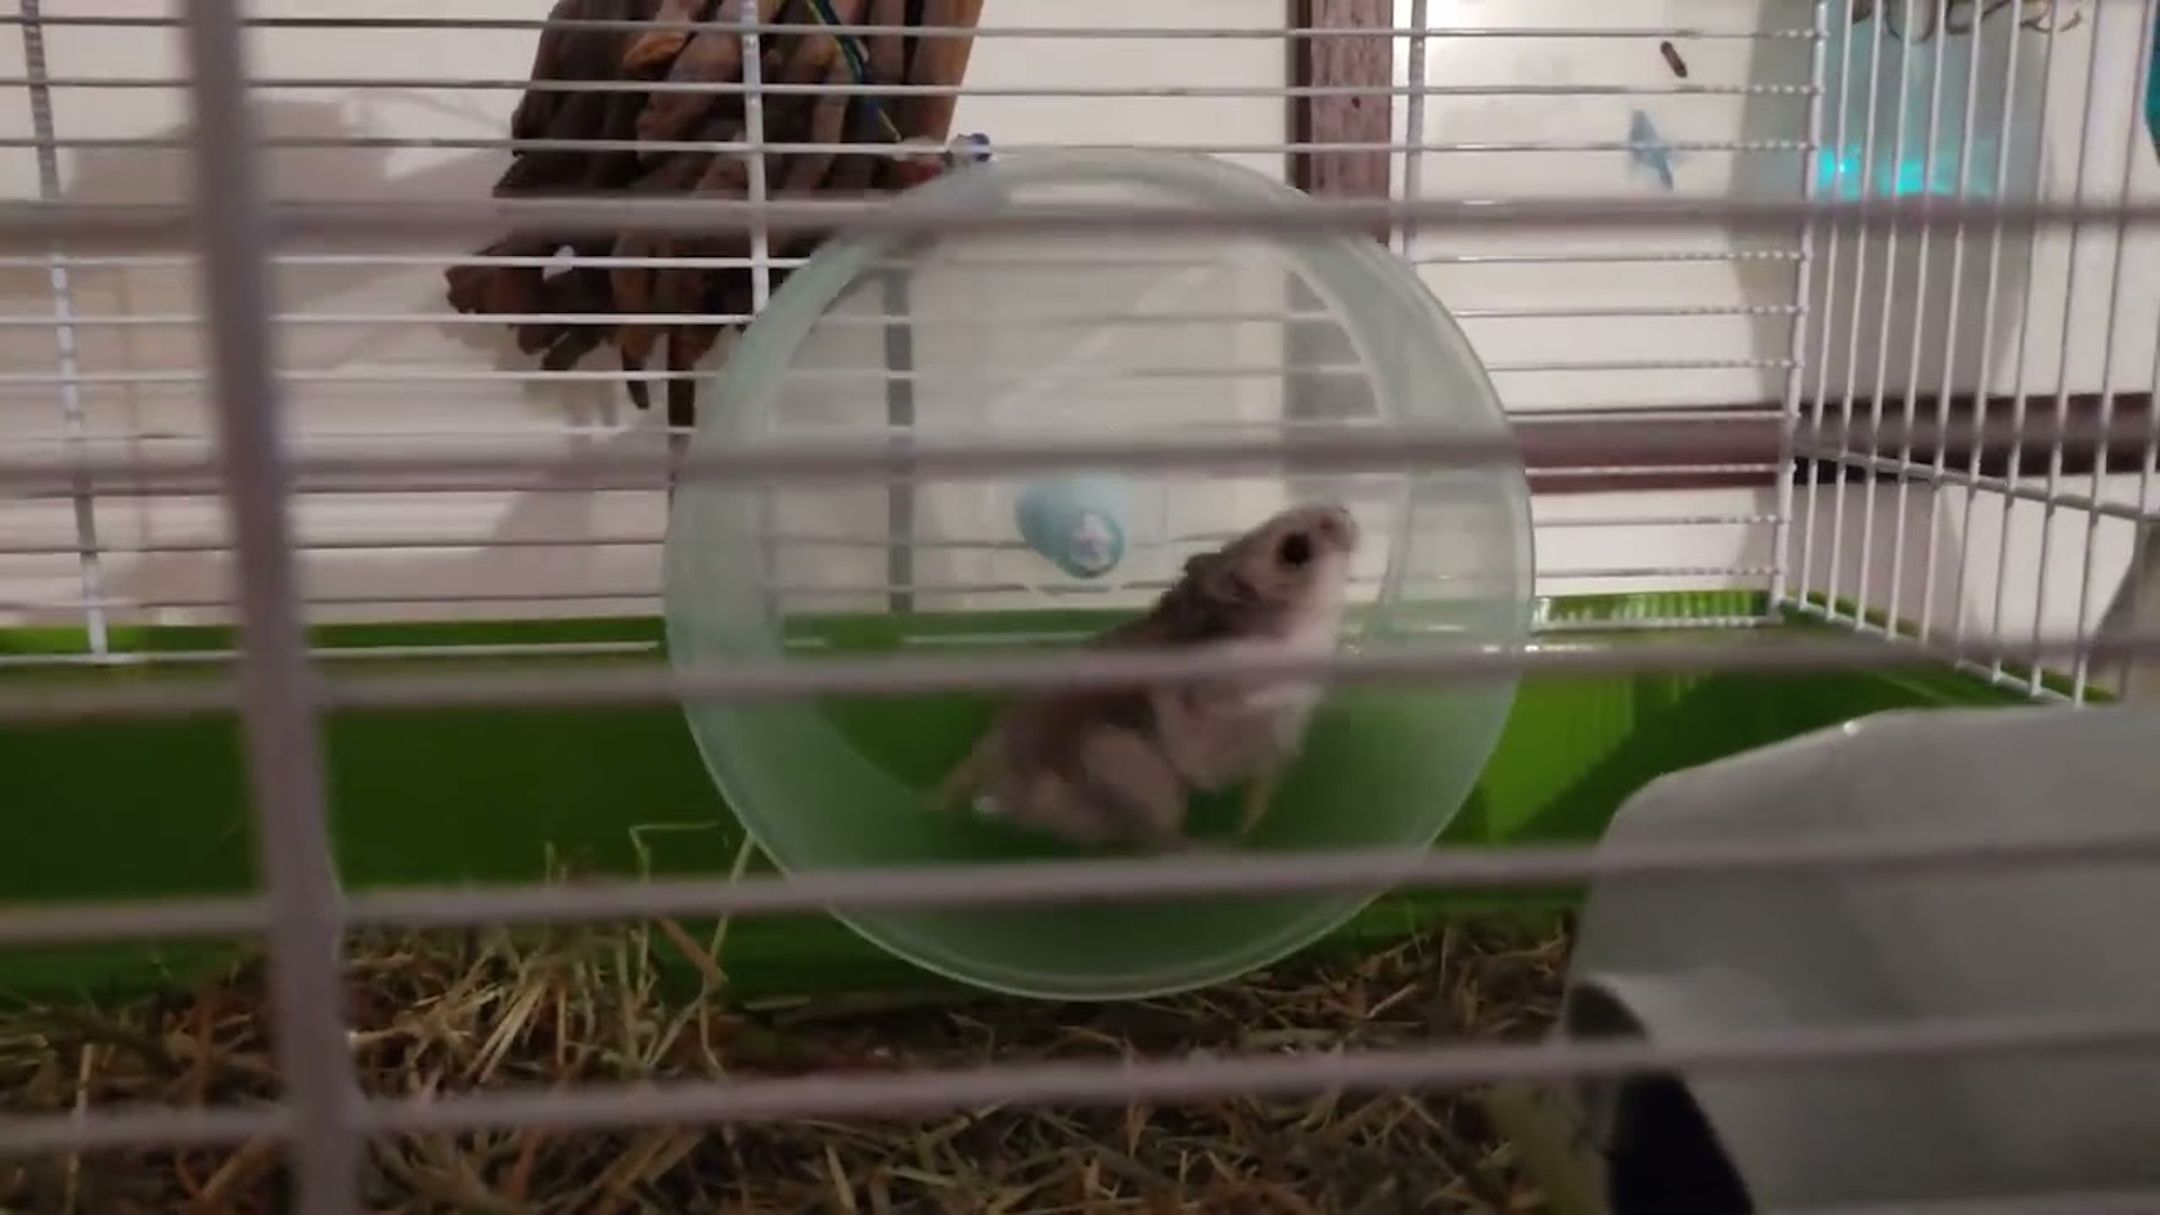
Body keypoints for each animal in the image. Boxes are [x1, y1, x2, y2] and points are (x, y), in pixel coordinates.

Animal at [934, 502, 1360, 851]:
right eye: (1295, 550)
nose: (1344, 509)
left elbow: (1264, 788)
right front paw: (1245, 833)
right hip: (1135, 775)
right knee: (1153, 837)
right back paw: (1211, 849)